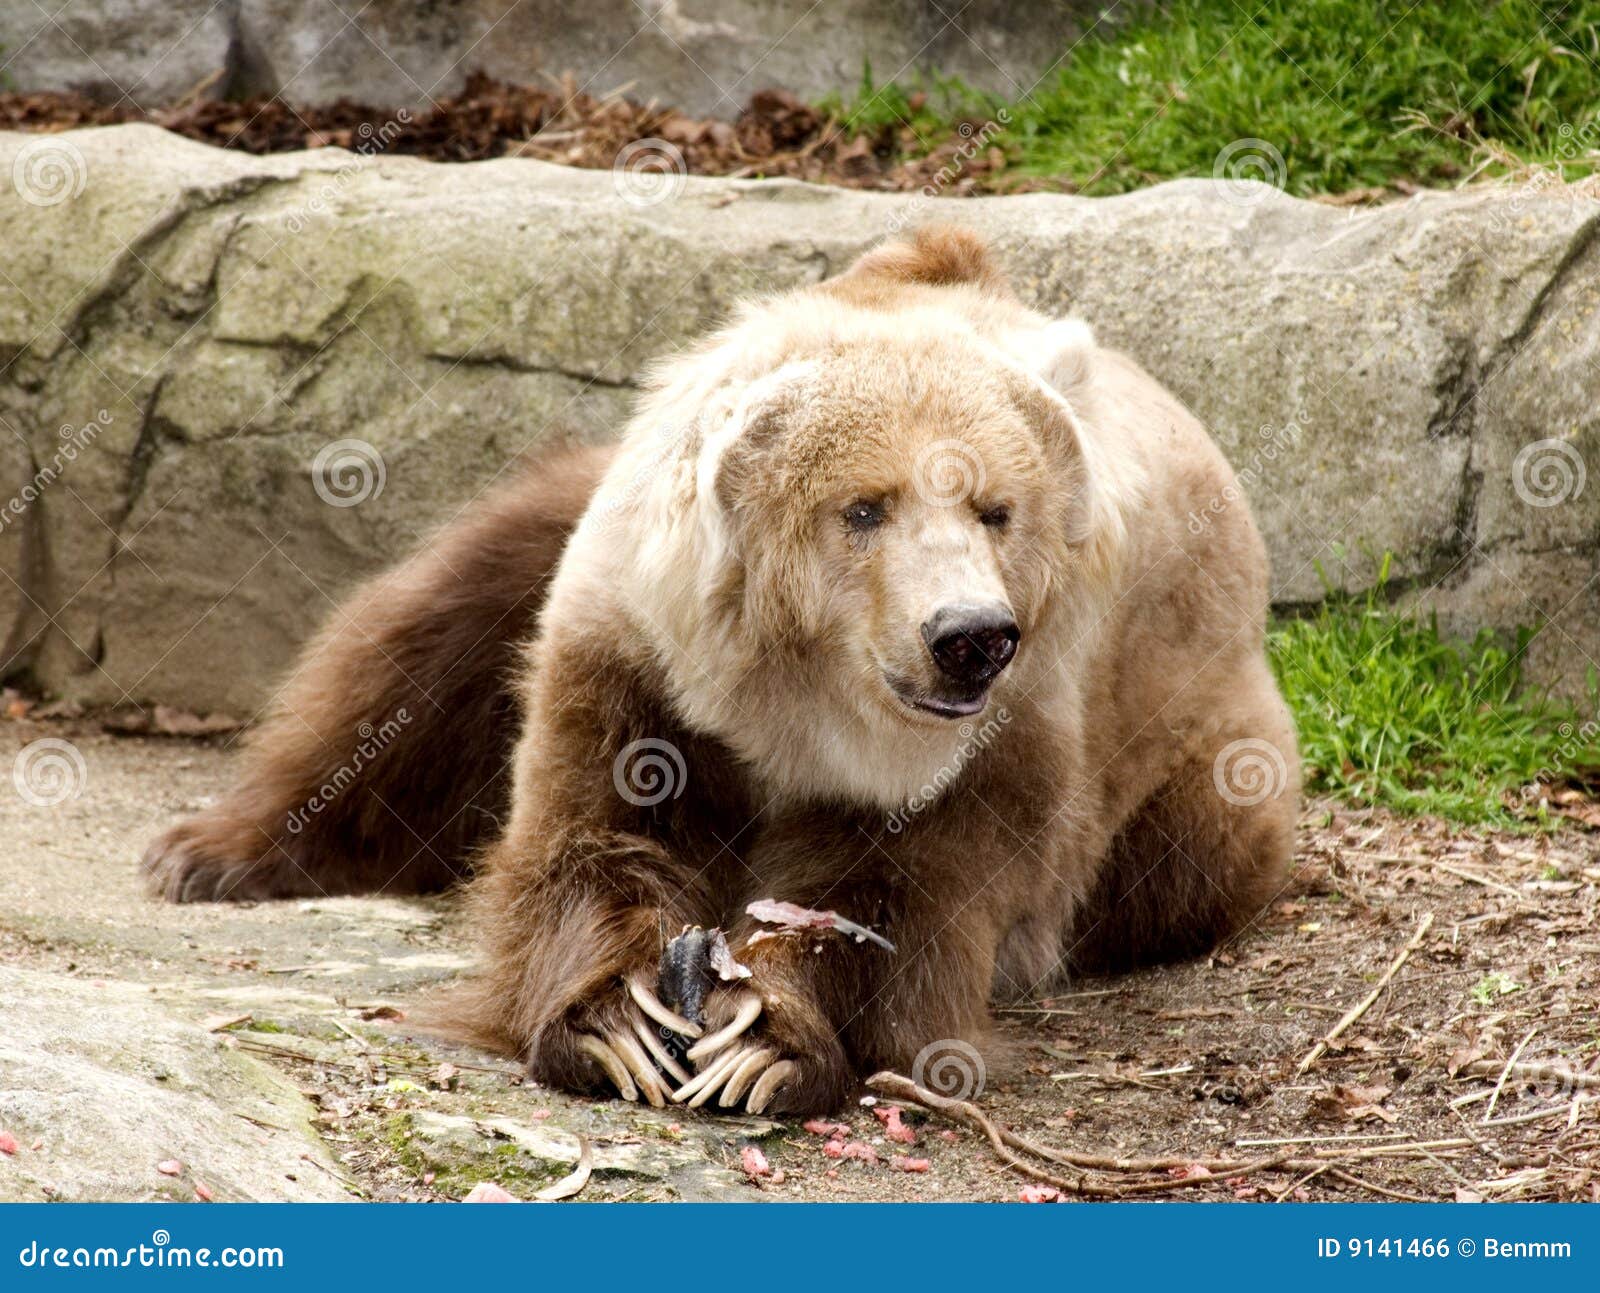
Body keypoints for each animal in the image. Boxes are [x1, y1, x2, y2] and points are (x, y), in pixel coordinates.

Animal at [142, 227, 1299, 1116]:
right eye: (864, 507)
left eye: (995, 509)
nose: (968, 636)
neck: (799, 713)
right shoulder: (636, 652)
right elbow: (591, 836)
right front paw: (622, 1020)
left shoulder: (1013, 739)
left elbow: (897, 899)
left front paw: (760, 1038)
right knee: (424, 642)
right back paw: (212, 851)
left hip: (1192, 756)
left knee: (1184, 854)